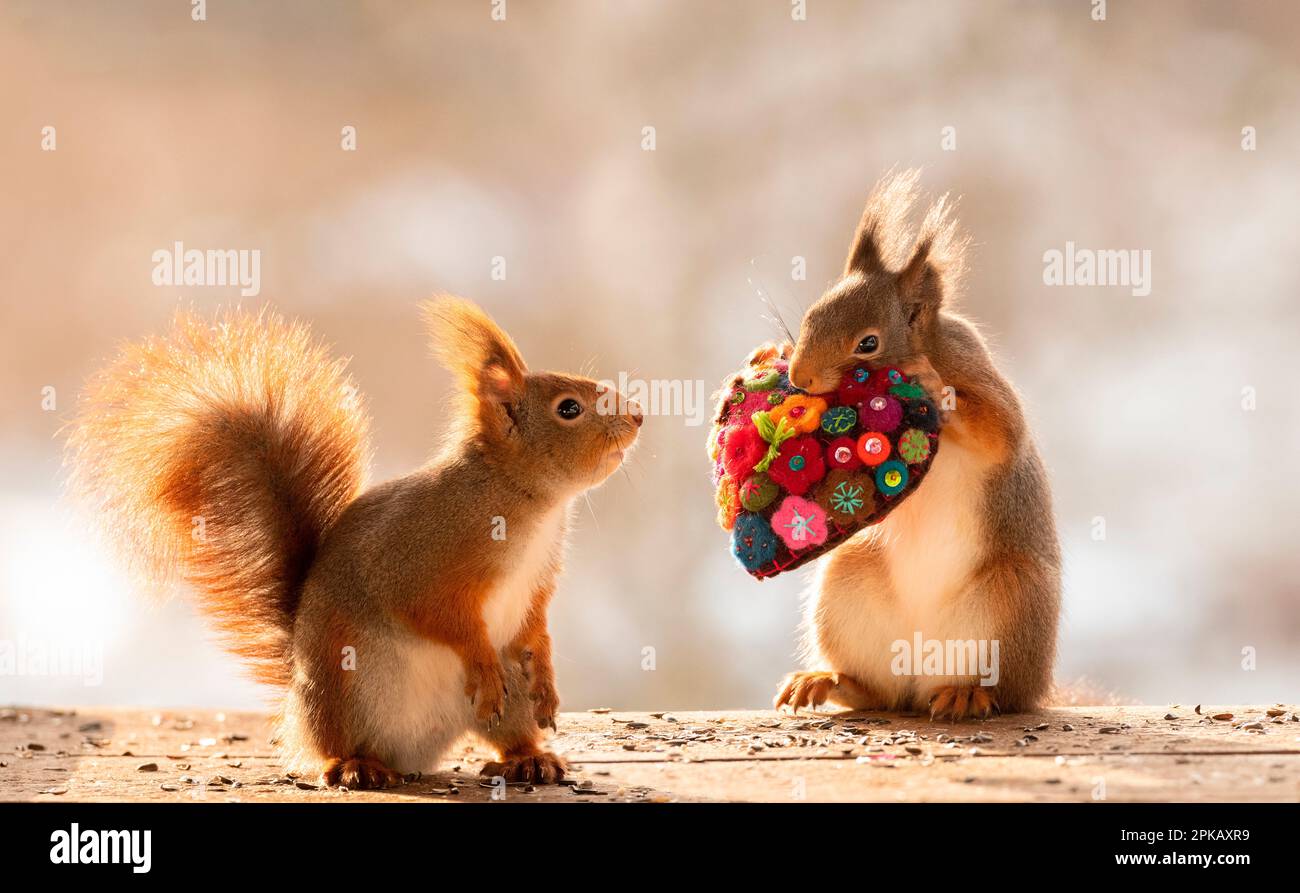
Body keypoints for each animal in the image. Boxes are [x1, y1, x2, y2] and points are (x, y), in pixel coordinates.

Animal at [65, 297, 642, 788]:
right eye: (569, 409)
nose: (637, 415)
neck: (530, 504)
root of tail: (408, 755)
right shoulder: (418, 559)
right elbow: (438, 615)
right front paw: (478, 659)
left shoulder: (537, 582)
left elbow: (535, 627)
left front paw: (548, 676)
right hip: (338, 689)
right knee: (329, 748)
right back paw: (354, 766)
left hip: (499, 700)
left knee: (507, 728)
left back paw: (530, 758)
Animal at [773, 169, 1061, 720]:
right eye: (808, 318)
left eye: (868, 343)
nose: (799, 378)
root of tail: (920, 669)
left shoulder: (976, 372)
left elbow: (1000, 431)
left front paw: (931, 384)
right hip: (848, 582)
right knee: (878, 693)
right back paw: (828, 681)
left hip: (1014, 601)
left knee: (1007, 695)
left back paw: (971, 694)